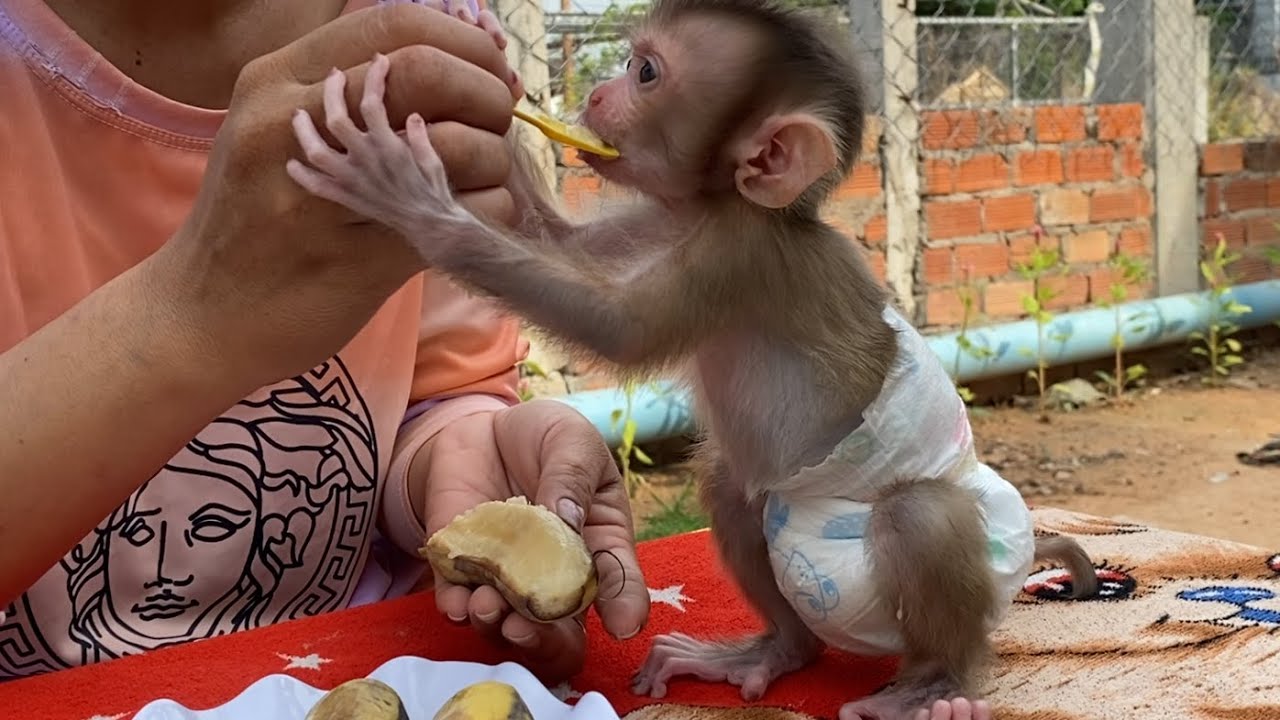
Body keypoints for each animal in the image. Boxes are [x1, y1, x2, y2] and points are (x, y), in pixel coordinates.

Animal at [282, 1, 1100, 718]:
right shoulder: (665, 219)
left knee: (918, 516)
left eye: (646, 73)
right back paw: (775, 651)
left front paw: (406, 190)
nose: (599, 91)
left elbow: (620, 329)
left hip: (954, 563)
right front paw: (480, 46)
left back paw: (934, 684)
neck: (720, 206)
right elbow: (560, 241)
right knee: (734, 488)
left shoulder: (735, 252)